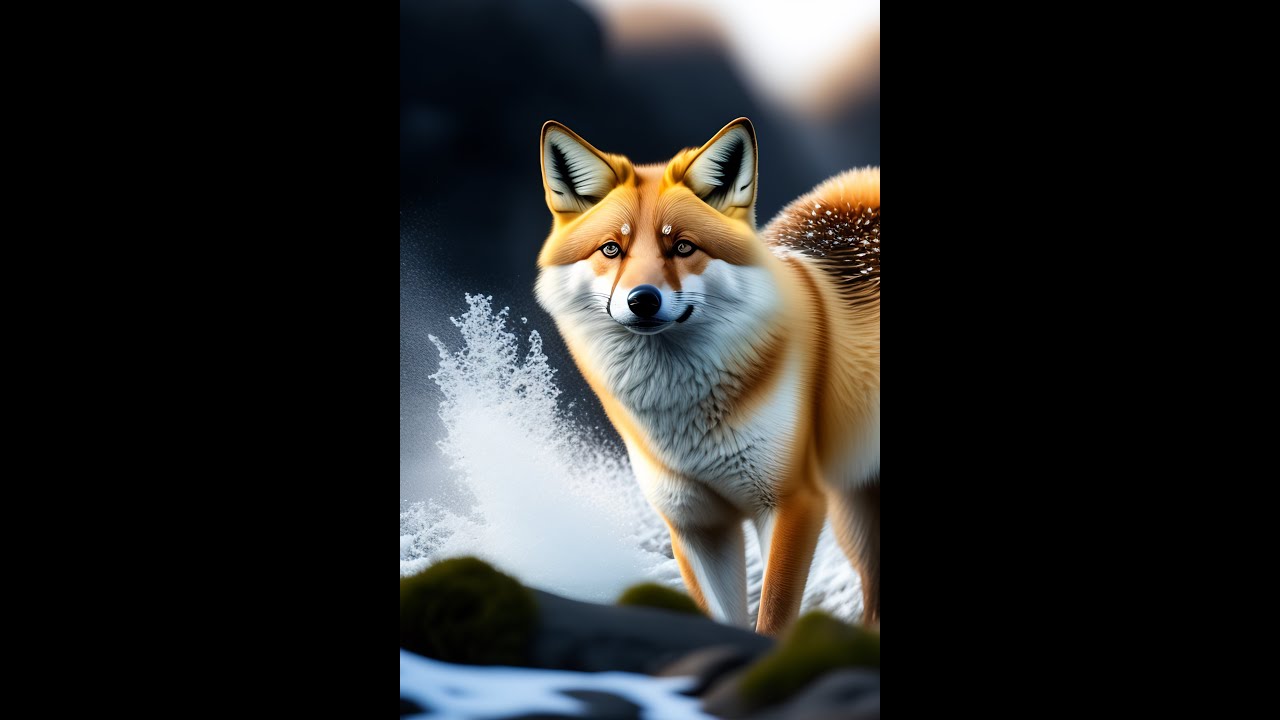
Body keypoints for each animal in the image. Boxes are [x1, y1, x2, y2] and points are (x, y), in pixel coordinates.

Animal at [534, 118, 879, 635]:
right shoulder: (694, 525)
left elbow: (771, 621)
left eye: (682, 246)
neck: (686, 424)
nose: (642, 299)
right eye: (612, 249)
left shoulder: (791, 503)